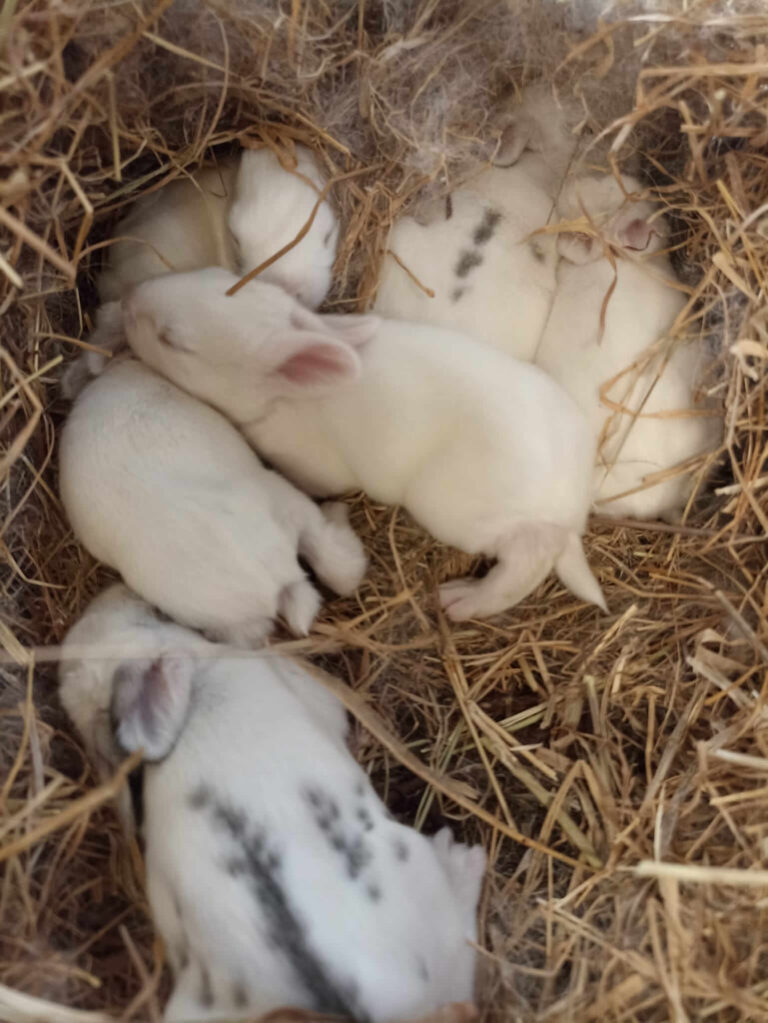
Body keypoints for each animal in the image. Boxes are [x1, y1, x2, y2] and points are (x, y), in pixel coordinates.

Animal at [122, 266, 607, 620]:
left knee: (528, 559)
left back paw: (462, 601)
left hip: (460, 512)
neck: (287, 395)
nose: (129, 298)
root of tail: (569, 508)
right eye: (211, 273)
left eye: (173, 341)